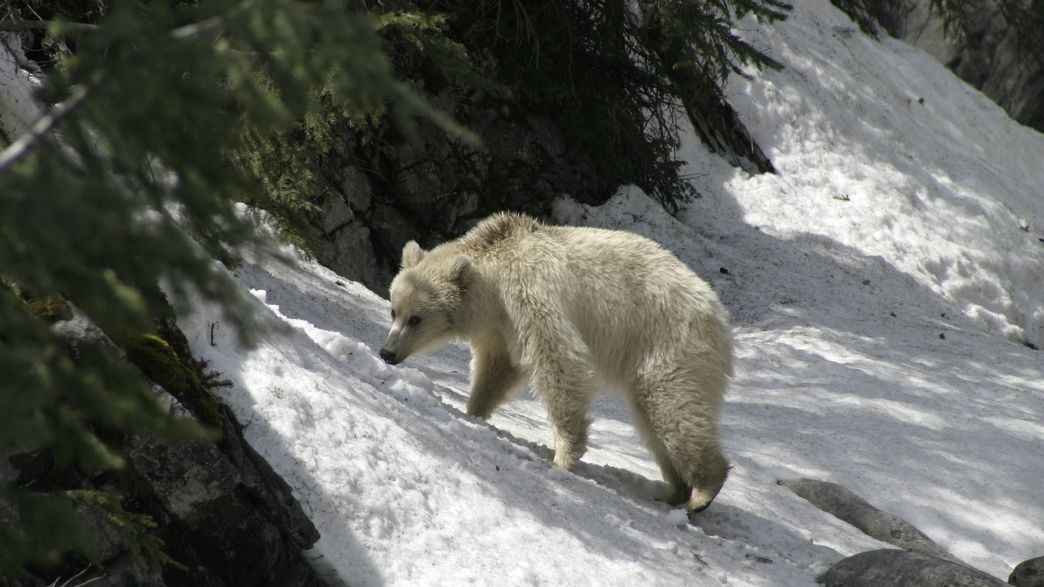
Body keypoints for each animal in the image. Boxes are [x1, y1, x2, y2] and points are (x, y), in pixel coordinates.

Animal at [379, 212, 733, 512]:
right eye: (394, 310)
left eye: (416, 318)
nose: (387, 353)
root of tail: (717, 311)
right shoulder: (500, 326)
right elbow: (497, 368)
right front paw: (473, 411)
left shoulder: (530, 295)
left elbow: (559, 361)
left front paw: (562, 457)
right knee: (652, 419)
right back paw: (675, 490)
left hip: (668, 342)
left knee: (671, 405)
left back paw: (702, 491)